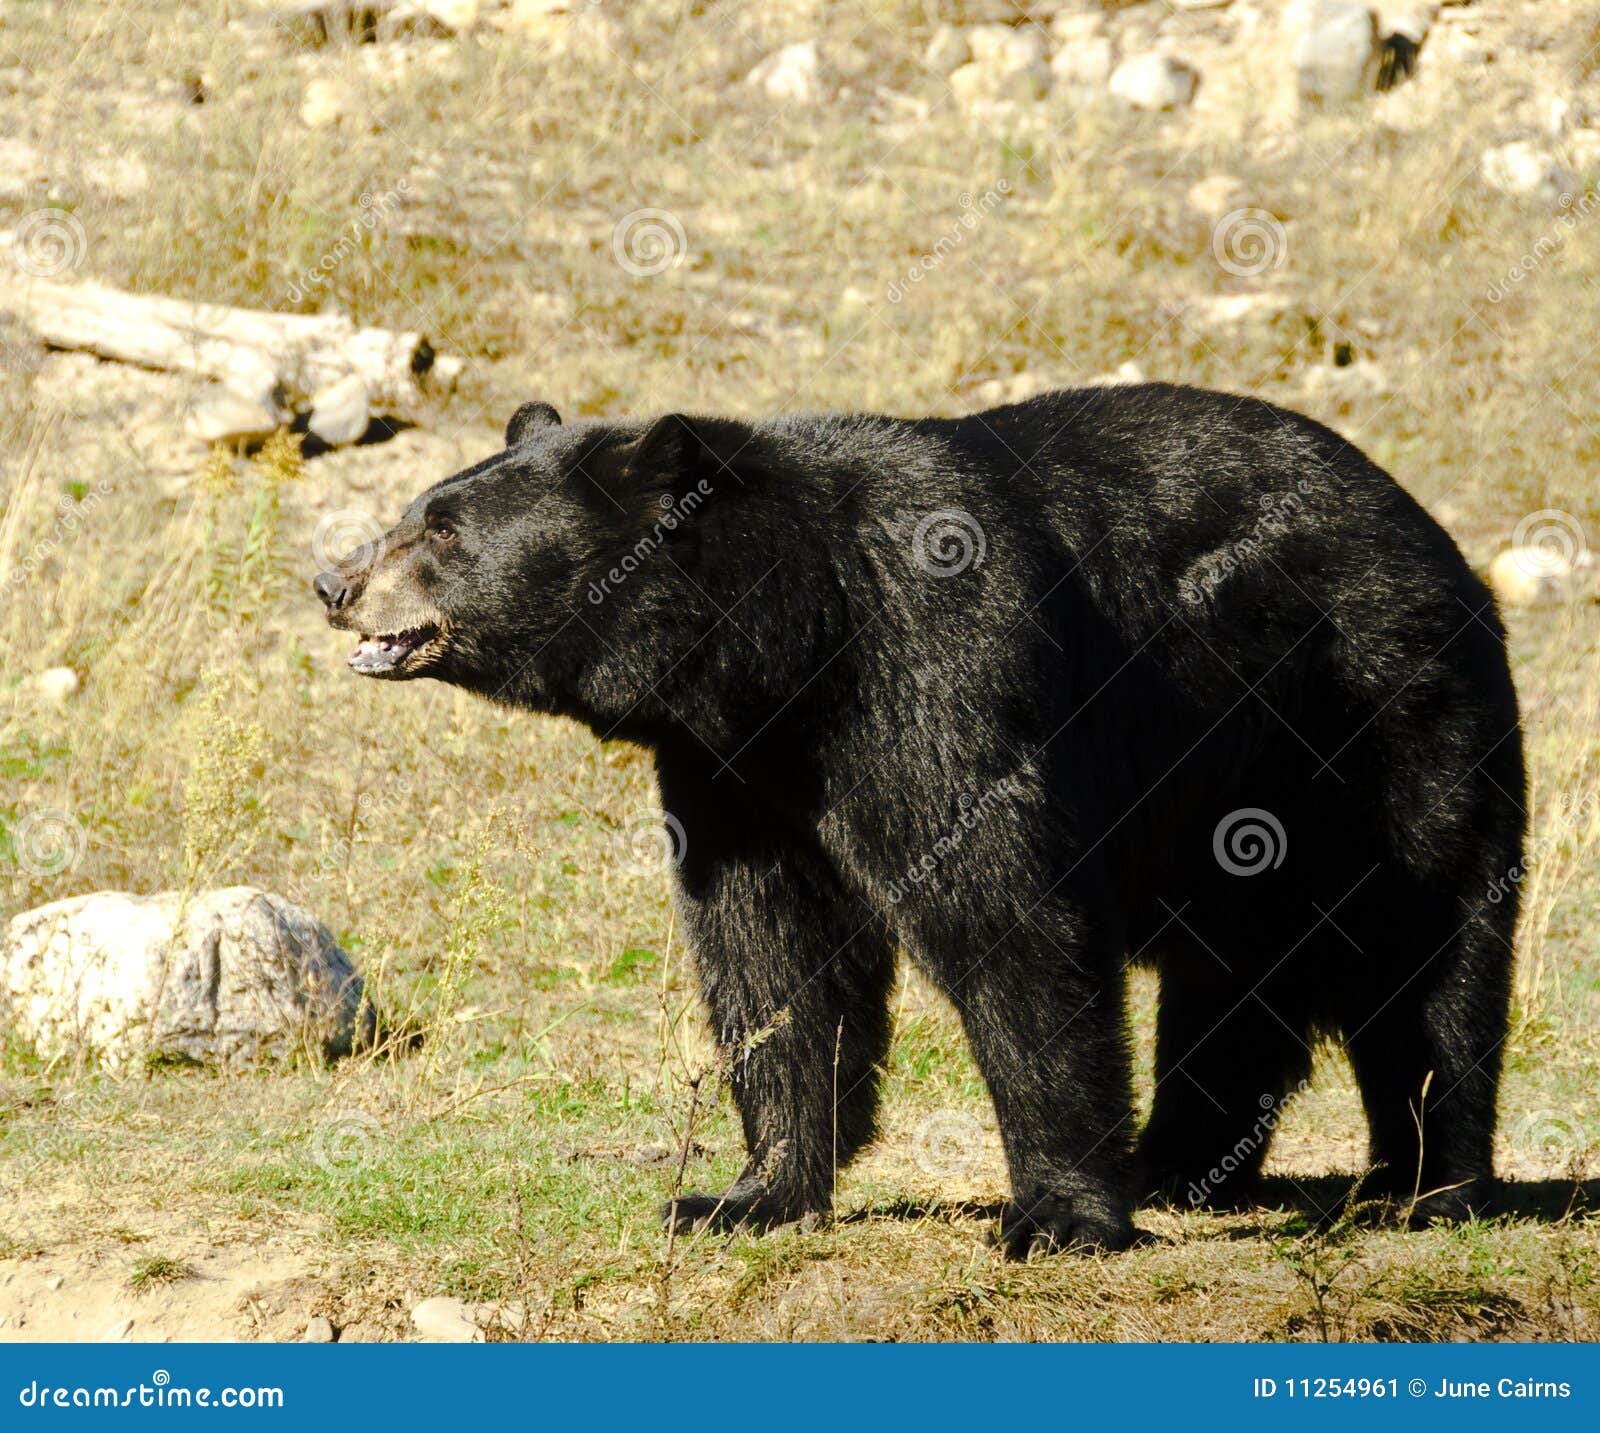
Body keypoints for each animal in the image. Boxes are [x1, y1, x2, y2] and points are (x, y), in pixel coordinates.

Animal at [313, 385, 1525, 1257]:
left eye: (442, 529)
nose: (333, 582)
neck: (795, 644)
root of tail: (1434, 533)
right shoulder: (736, 771)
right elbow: (768, 948)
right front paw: (743, 1191)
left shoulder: (940, 663)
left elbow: (1005, 917)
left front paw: (1057, 1214)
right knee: (1233, 980)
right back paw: (1181, 1164)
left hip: (1385, 721)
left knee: (1429, 954)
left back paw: (1431, 1184)